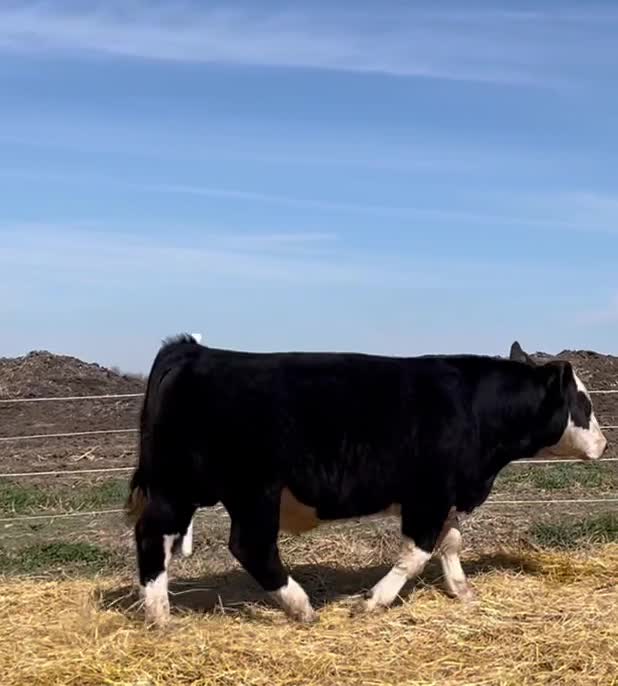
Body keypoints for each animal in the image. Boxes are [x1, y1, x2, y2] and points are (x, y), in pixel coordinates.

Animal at [126, 335, 607, 626]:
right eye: (583, 403)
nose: (603, 443)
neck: (475, 407)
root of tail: (194, 351)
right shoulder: (427, 498)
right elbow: (416, 555)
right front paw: (373, 601)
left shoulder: (449, 497)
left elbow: (450, 545)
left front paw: (463, 592)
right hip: (241, 491)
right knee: (246, 547)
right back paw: (297, 608)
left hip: (183, 490)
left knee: (158, 537)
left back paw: (160, 614)